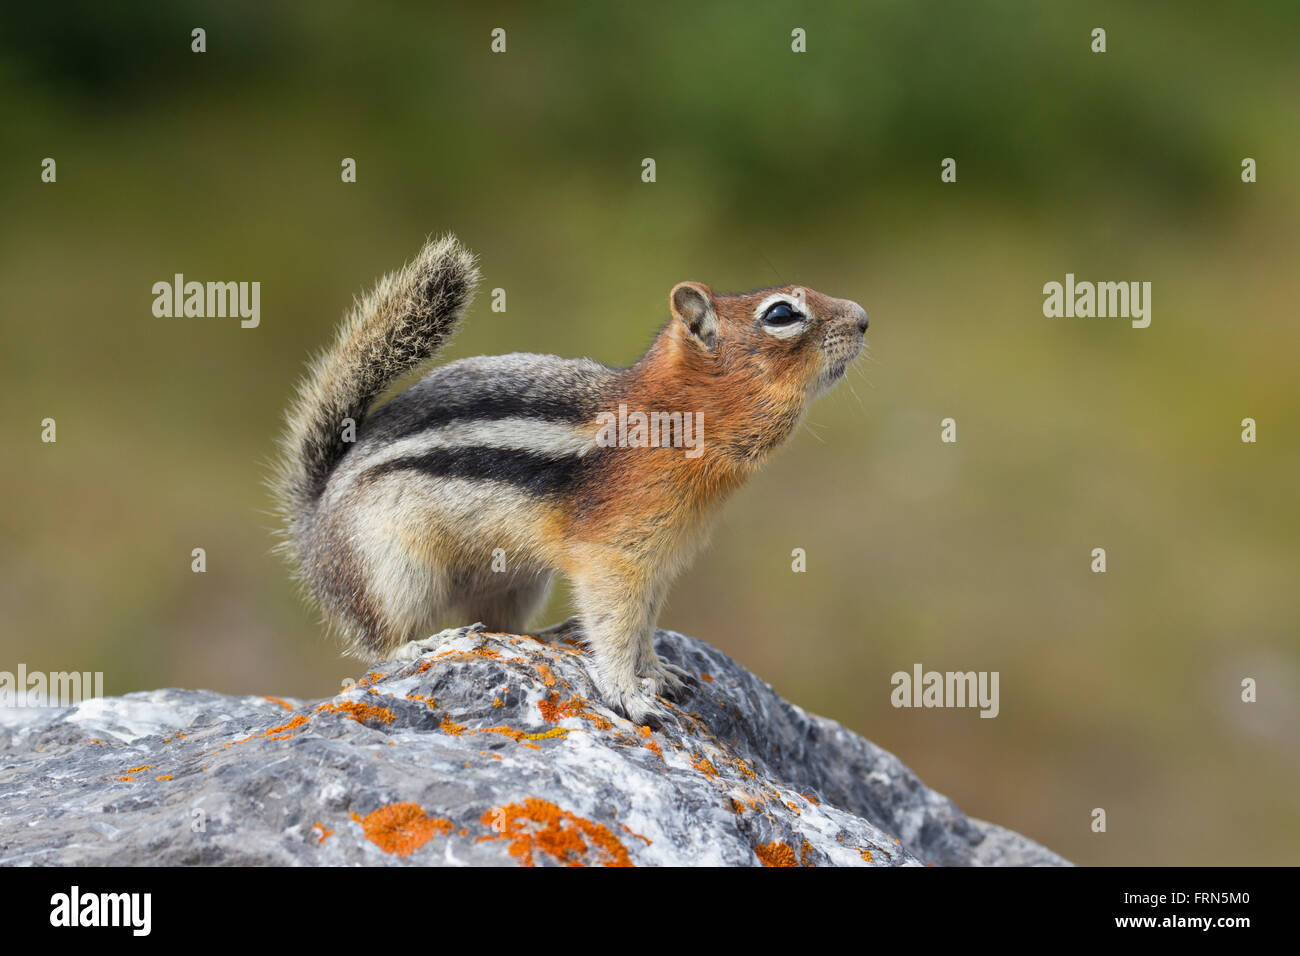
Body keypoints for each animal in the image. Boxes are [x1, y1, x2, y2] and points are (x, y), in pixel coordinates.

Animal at [272, 234, 868, 723]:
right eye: (783, 313)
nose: (863, 317)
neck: (676, 419)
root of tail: (313, 521)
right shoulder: (615, 554)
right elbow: (615, 626)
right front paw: (628, 693)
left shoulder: (658, 561)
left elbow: (643, 626)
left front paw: (657, 671)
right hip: (391, 567)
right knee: (376, 642)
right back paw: (424, 645)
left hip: (517, 579)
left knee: (499, 623)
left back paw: (545, 633)